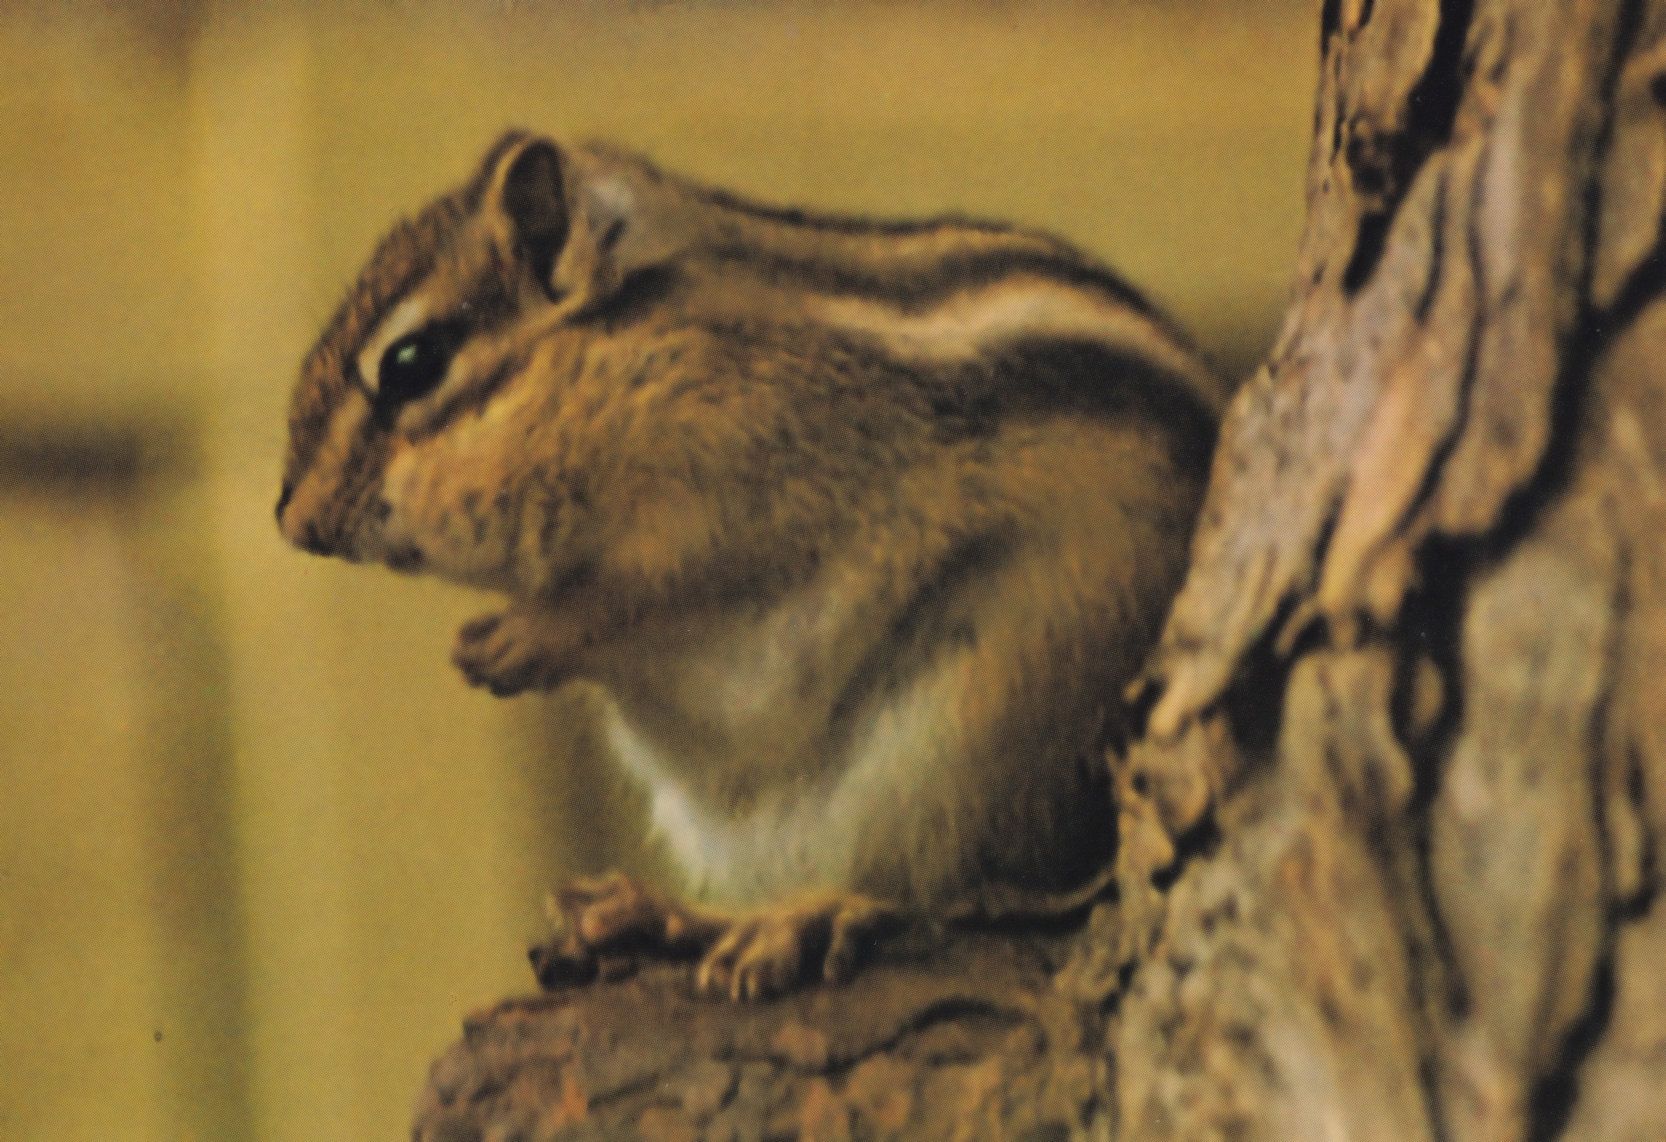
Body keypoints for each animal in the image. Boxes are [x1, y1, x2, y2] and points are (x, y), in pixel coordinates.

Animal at [277, 132, 1226, 1000]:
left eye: (411, 362)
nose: (290, 518)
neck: (627, 356)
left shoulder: (722, 508)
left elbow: (639, 598)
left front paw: (518, 640)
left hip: (985, 723)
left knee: (967, 890)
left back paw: (806, 917)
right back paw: (662, 913)